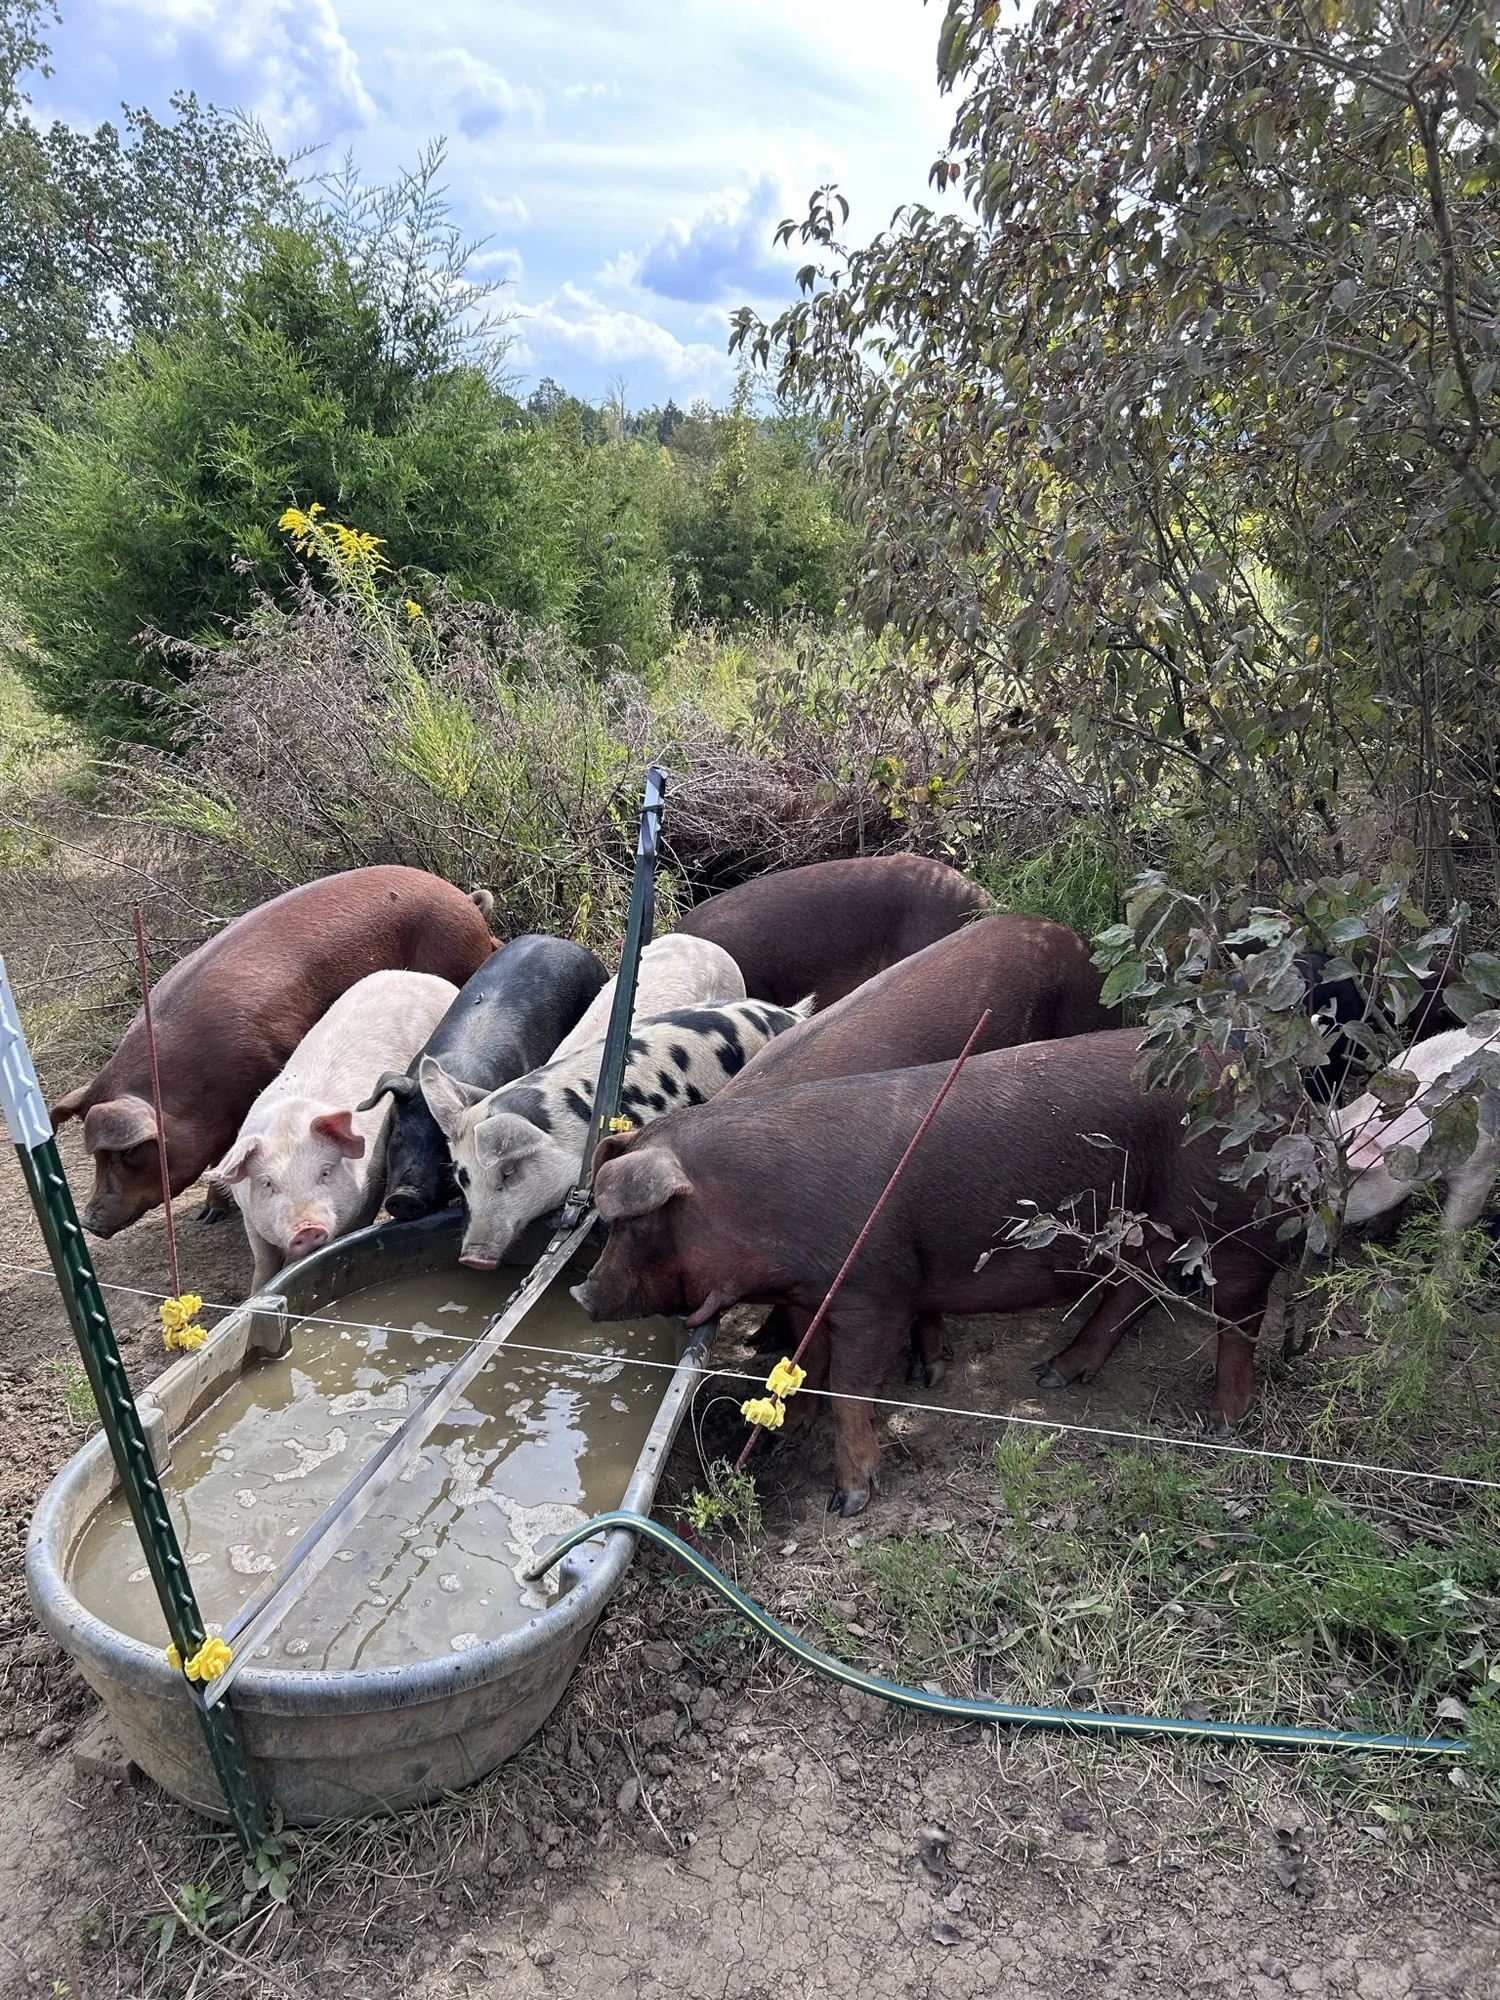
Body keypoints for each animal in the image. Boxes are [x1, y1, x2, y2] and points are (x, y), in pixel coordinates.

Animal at [49, 866, 497, 1237]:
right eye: (98, 1156)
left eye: (127, 1153)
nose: (89, 1223)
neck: (193, 1093)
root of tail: (463, 900)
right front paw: (208, 1215)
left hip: (458, 953)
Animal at [213, 970, 458, 1291]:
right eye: (268, 1184)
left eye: (326, 1172)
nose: (306, 1228)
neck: (290, 1124)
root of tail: (420, 975)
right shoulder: (250, 1216)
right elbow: (264, 1263)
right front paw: (254, 1294)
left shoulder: (365, 1195)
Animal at [573, 1030, 1290, 1514]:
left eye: (632, 1224)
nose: (580, 1293)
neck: (755, 1209)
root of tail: (1263, 1087)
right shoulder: (810, 1292)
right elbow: (808, 1357)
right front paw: (786, 1432)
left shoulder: (871, 1293)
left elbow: (850, 1388)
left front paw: (849, 1500)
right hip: (1151, 1229)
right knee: (1133, 1290)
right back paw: (1054, 1374)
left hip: (1233, 1221)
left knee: (1239, 1316)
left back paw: (1221, 1425)